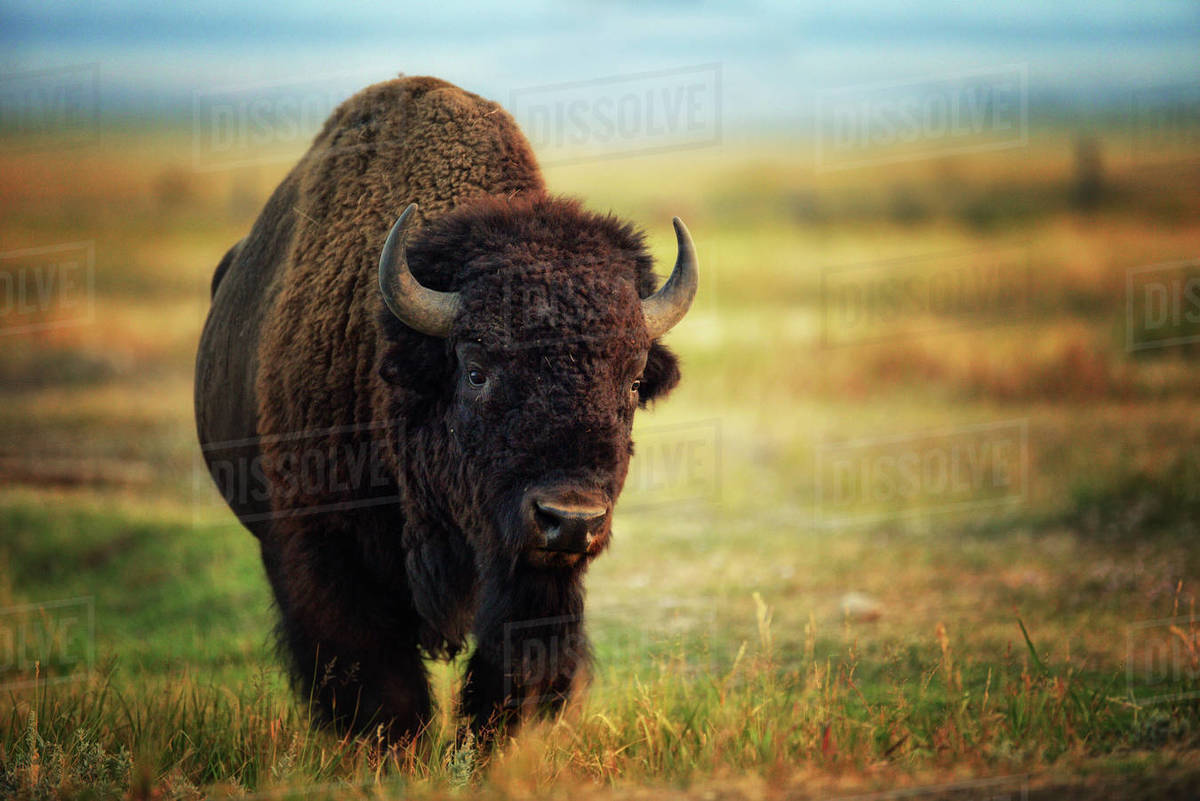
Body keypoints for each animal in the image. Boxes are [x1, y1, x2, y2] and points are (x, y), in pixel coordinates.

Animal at [194, 75, 698, 741]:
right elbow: (381, 685)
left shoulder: (530, 578)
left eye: (634, 381)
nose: (571, 519)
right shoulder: (326, 551)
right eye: (476, 370)